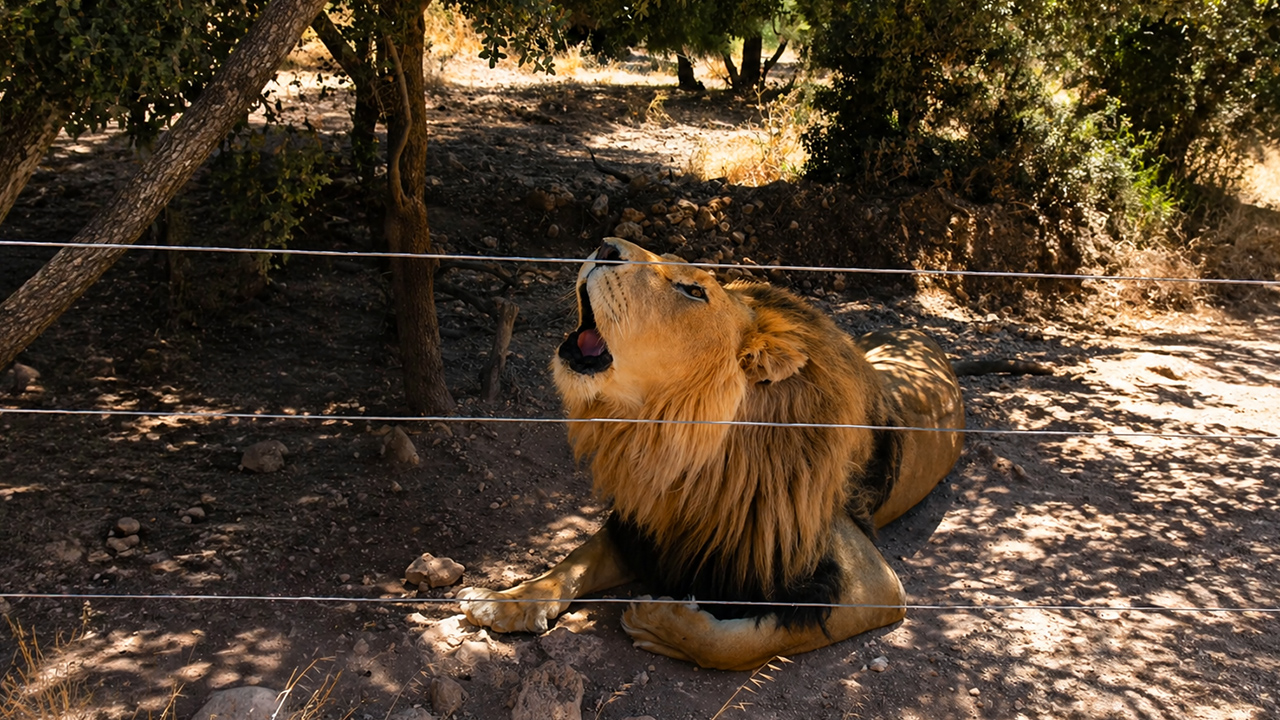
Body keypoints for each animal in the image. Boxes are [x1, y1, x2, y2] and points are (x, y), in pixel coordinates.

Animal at [459, 237, 976, 670]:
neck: (676, 445)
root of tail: (921, 333)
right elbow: (571, 563)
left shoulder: (873, 584)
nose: (605, 245)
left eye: (692, 290)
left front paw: (659, 624)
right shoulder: (648, 524)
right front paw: (506, 599)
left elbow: (742, 643)